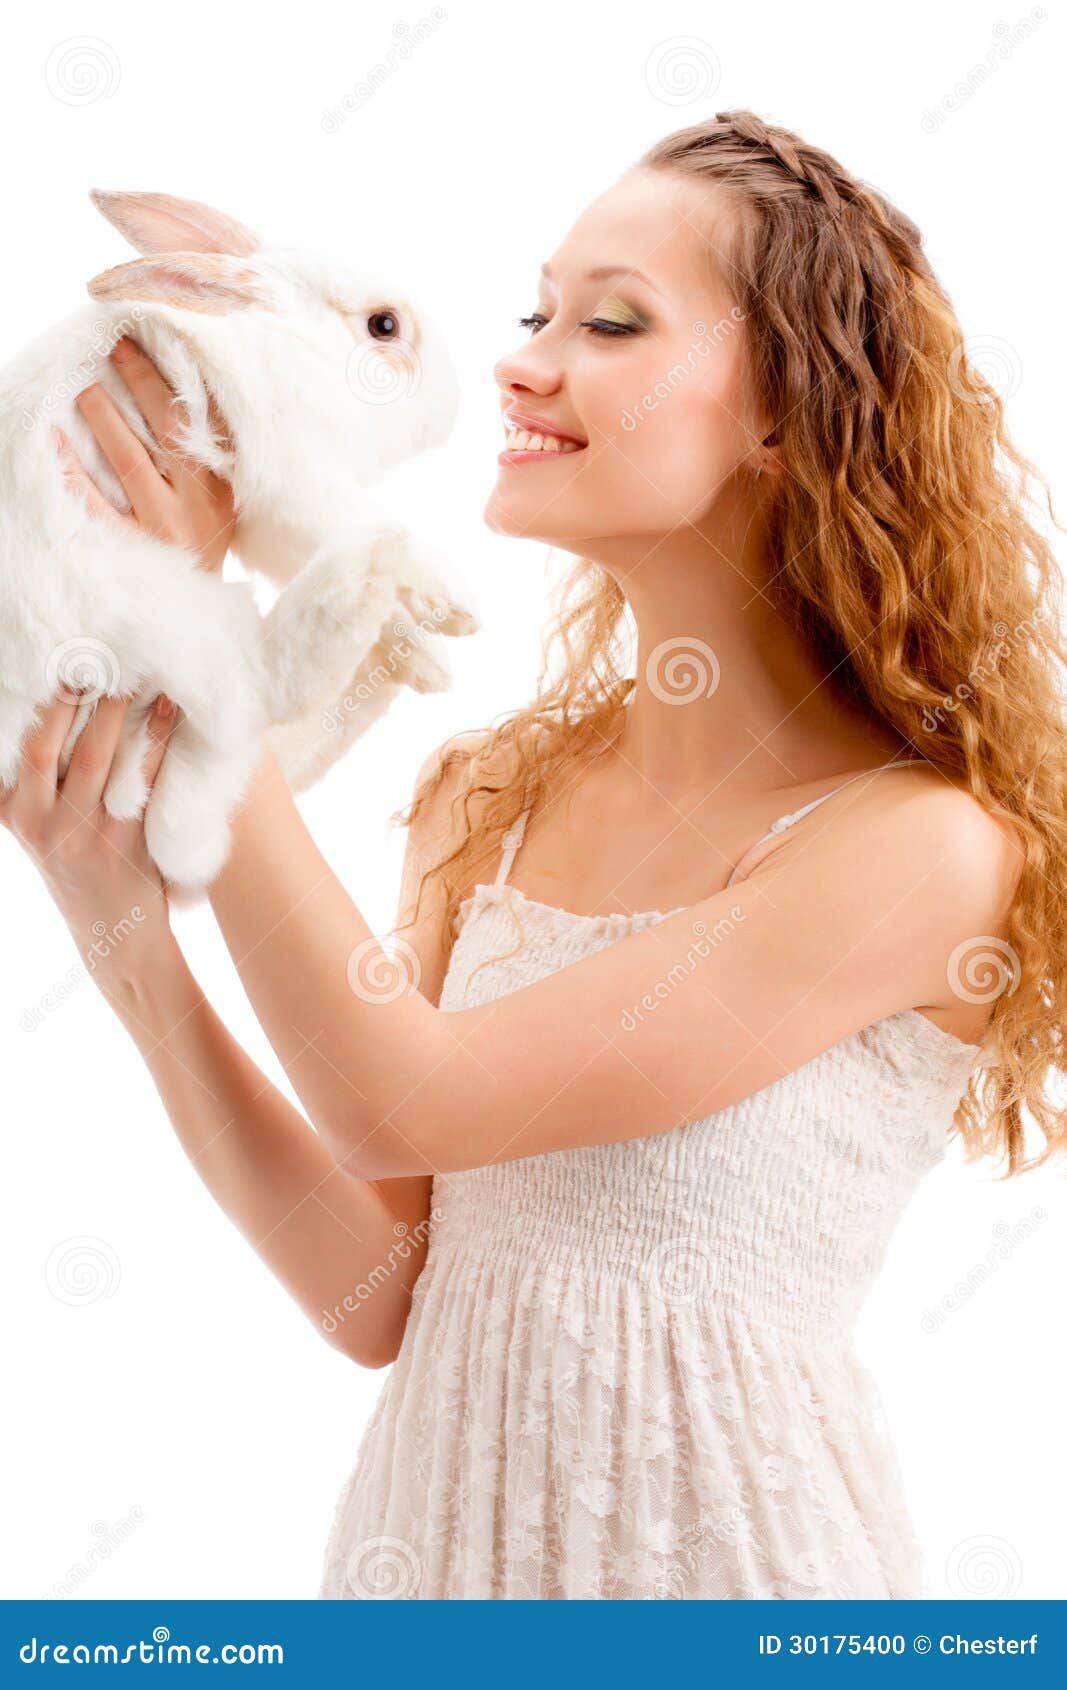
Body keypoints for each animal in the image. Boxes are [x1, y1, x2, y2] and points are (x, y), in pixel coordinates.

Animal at [0, 189, 479, 905]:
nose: (450, 406)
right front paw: (455, 605)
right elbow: (351, 518)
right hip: (152, 610)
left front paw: (430, 640)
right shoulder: (297, 478)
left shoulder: (265, 523)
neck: (287, 343)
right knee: (249, 696)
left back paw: (405, 665)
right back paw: (366, 575)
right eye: (385, 326)